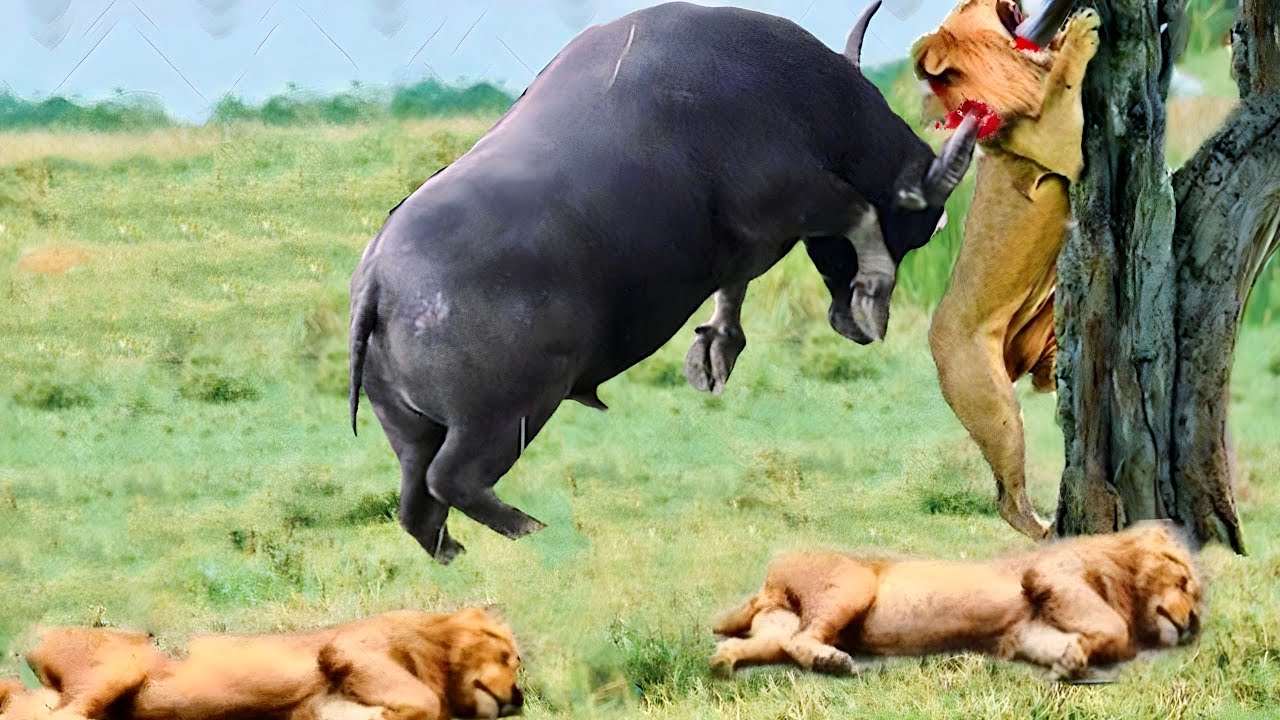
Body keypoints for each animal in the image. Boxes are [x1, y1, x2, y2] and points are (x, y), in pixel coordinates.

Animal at [710, 521, 1203, 681]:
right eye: (1184, 583)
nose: (1194, 625)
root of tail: (769, 577)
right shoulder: (1046, 574)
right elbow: (1117, 631)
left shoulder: (1024, 630)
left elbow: (1079, 640)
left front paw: (1070, 658)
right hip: (852, 583)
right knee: (802, 641)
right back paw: (832, 662)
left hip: (774, 626)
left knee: (752, 644)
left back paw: (723, 663)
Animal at [911, 0, 1101, 539]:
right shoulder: (1063, 146)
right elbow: (1063, 87)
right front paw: (1080, 34)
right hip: (995, 409)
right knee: (1006, 498)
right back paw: (1049, 529)